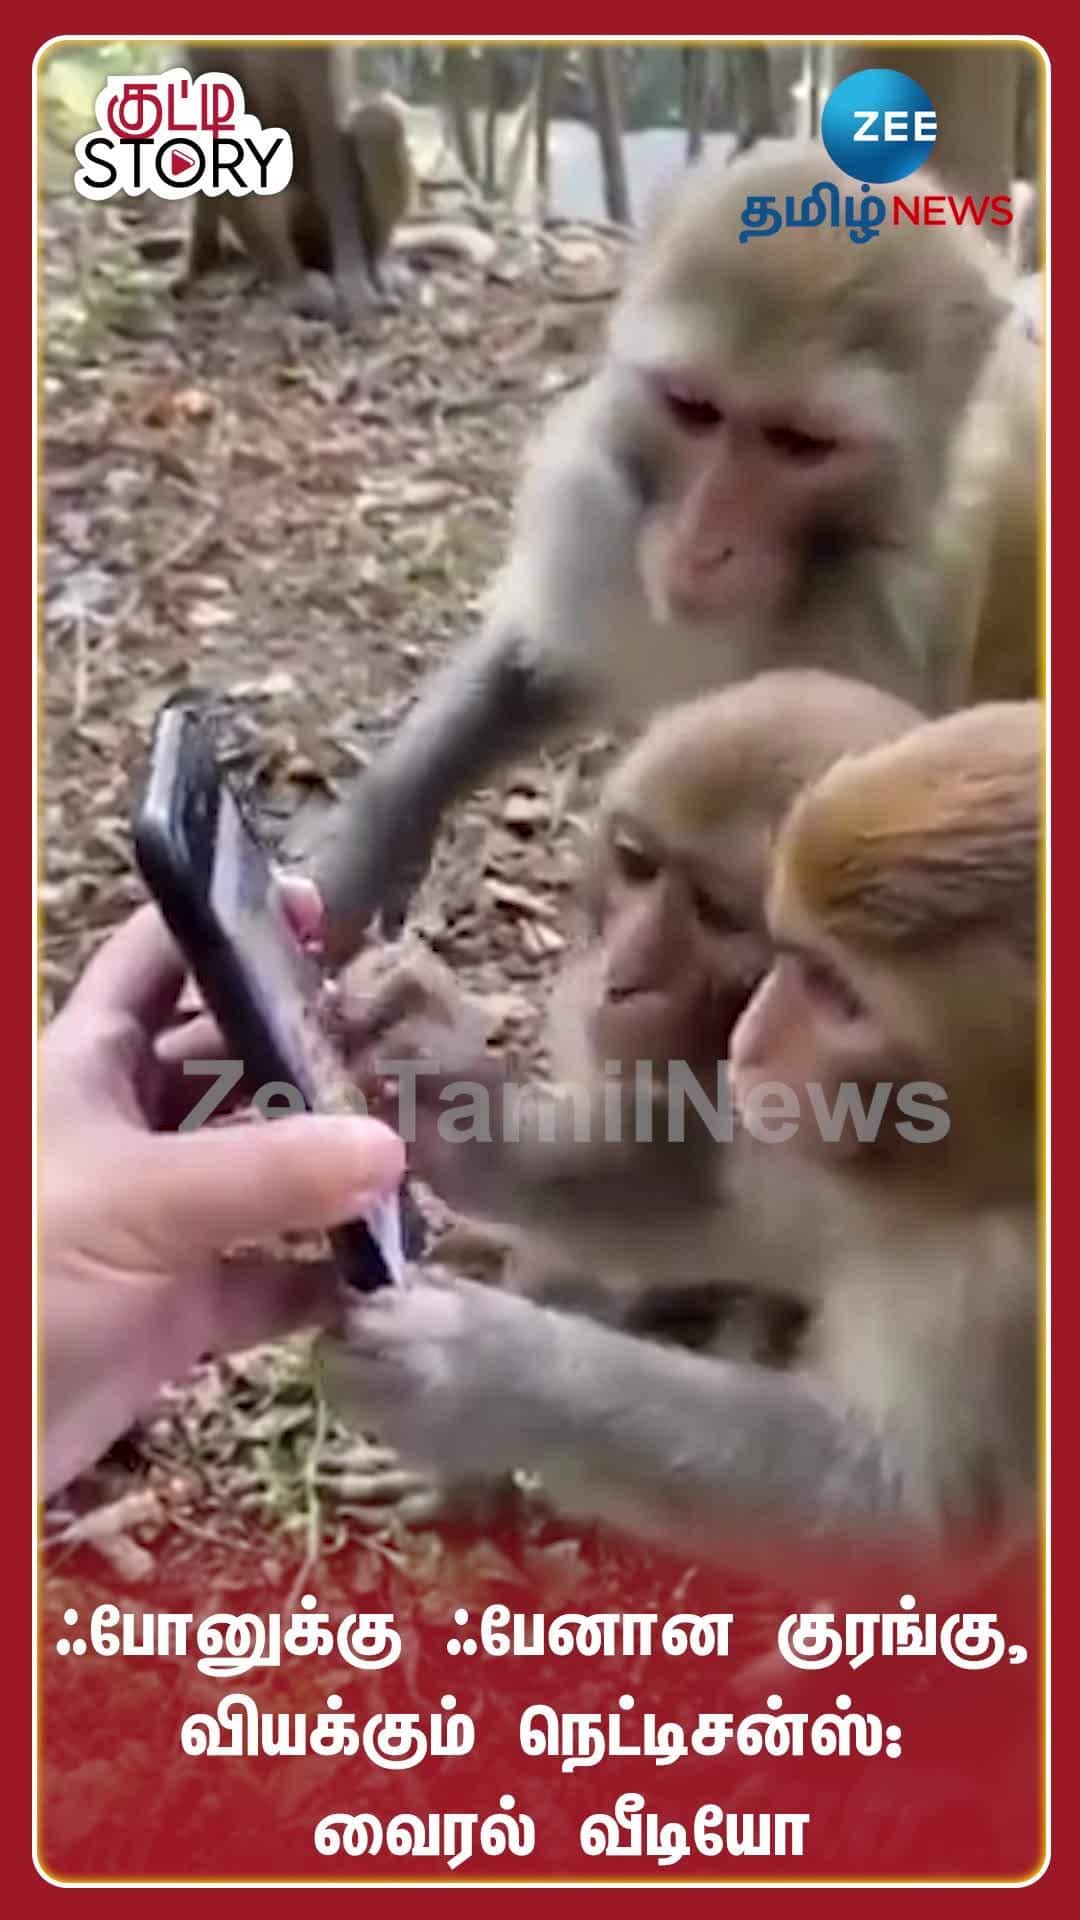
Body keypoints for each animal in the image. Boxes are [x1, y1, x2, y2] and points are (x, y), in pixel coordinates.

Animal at [309, 140, 1041, 958]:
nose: (702, 542)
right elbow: (540, 668)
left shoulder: (888, 628)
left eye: (802, 444)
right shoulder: (602, 513)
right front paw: (375, 840)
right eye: (693, 408)